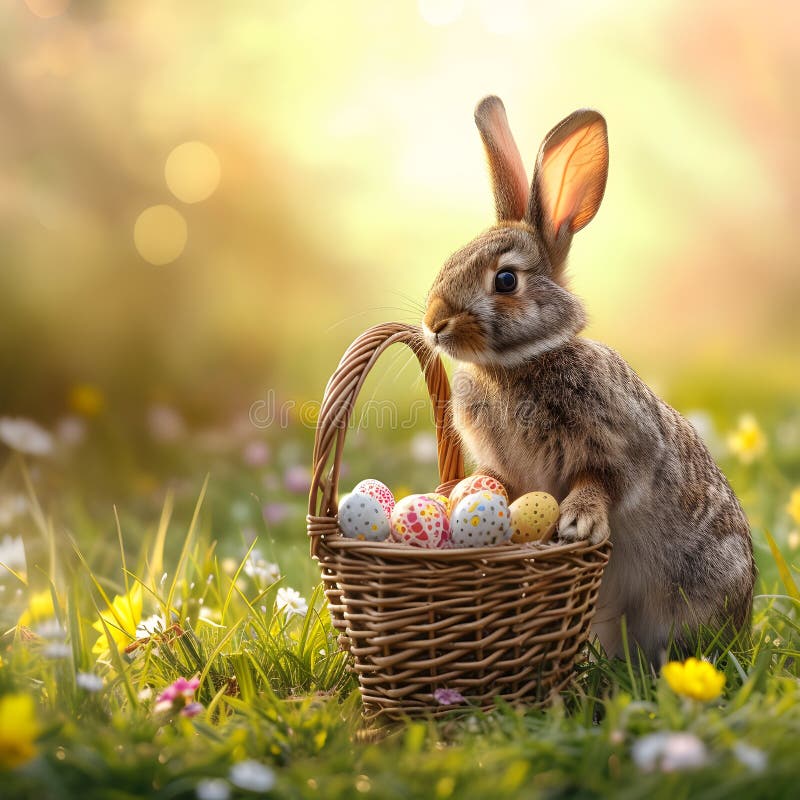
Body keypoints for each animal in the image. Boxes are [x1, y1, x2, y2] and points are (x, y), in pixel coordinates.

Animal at [422, 96, 755, 664]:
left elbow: (598, 482)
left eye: (505, 280)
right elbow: (497, 481)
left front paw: (579, 522)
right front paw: (464, 490)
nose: (434, 322)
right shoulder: (501, 462)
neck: (515, 366)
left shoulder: (621, 448)